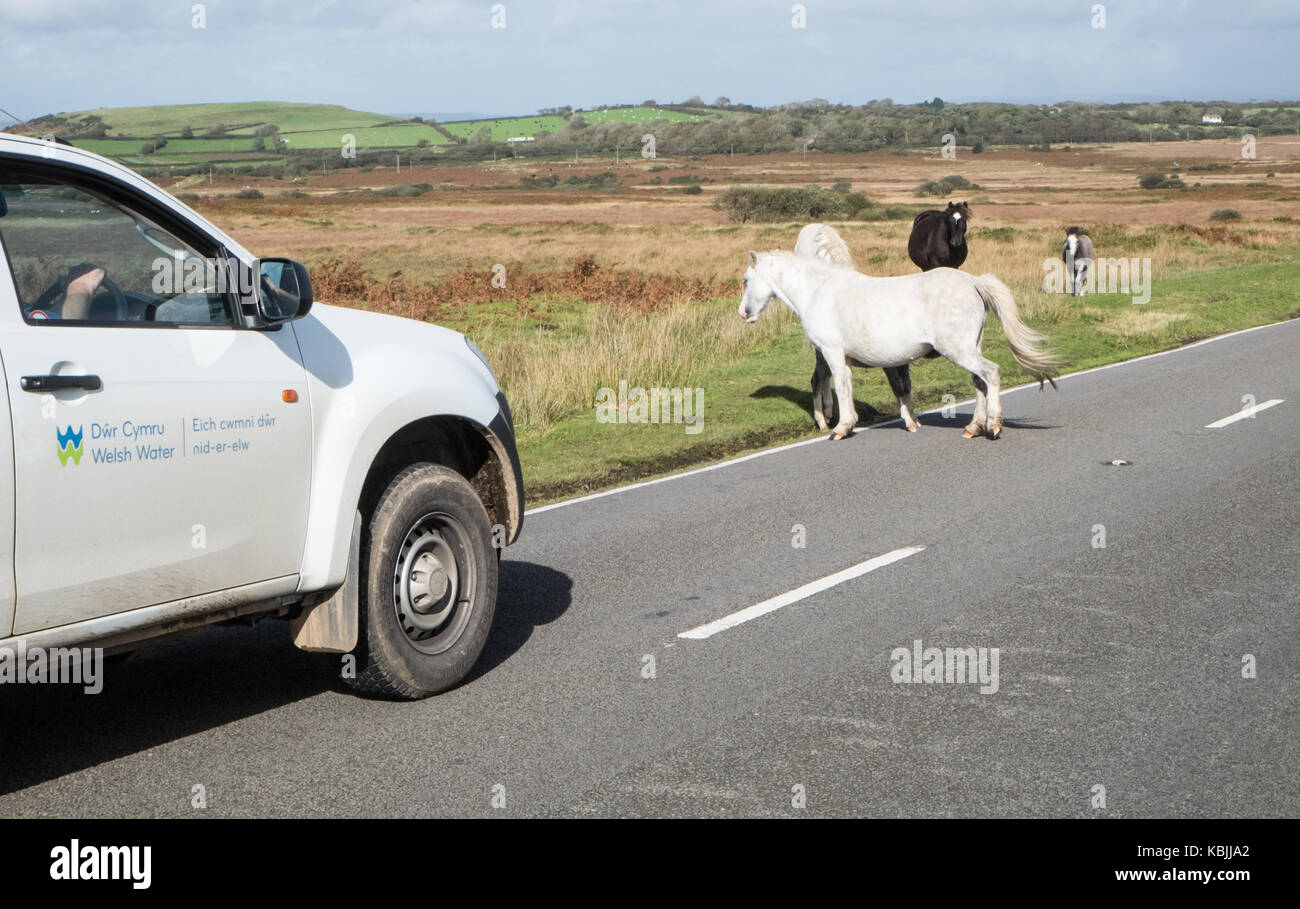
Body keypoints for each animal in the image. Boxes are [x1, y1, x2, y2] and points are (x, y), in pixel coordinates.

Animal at [738, 250, 1060, 441]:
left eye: (745, 280)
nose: (744, 313)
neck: (819, 291)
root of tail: (973, 282)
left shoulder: (832, 354)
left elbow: (841, 388)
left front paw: (842, 428)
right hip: (969, 350)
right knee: (980, 383)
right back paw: (972, 428)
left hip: (960, 351)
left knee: (991, 374)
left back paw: (993, 426)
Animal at [794, 223, 923, 432]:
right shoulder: (890, 360)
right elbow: (898, 386)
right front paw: (910, 421)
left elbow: (905, 385)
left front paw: (913, 418)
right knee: (817, 379)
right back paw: (822, 421)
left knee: (823, 378)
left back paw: (829, 414)